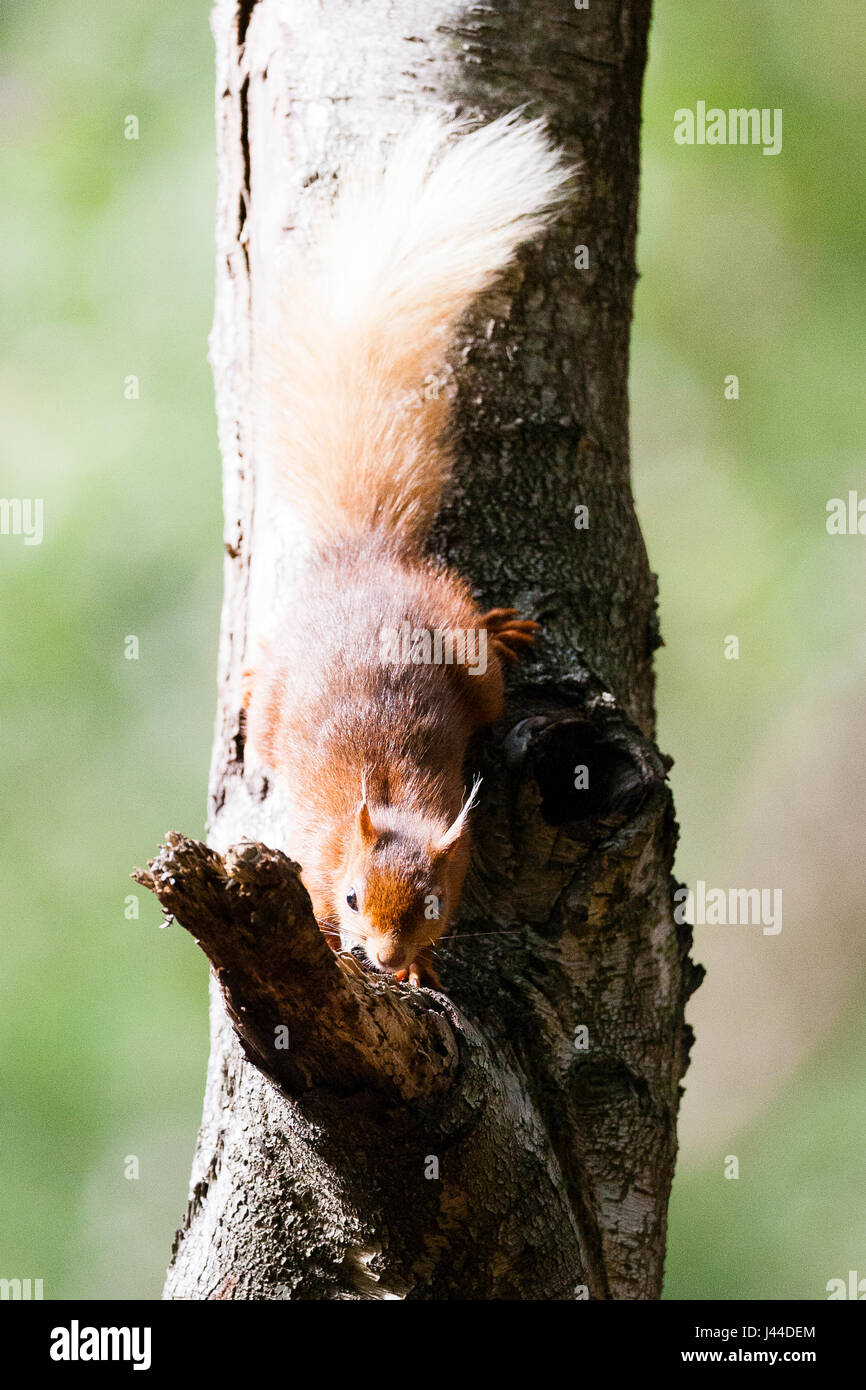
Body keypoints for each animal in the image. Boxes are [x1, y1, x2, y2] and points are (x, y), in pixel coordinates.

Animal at [244, 112, 572, 989]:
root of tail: (362, 556)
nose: (386, 960)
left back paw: (501, 630)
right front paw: (336, 948)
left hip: (471, 669)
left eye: (433, 906)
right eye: (354, 898)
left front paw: (422, 972)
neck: (385, 797)